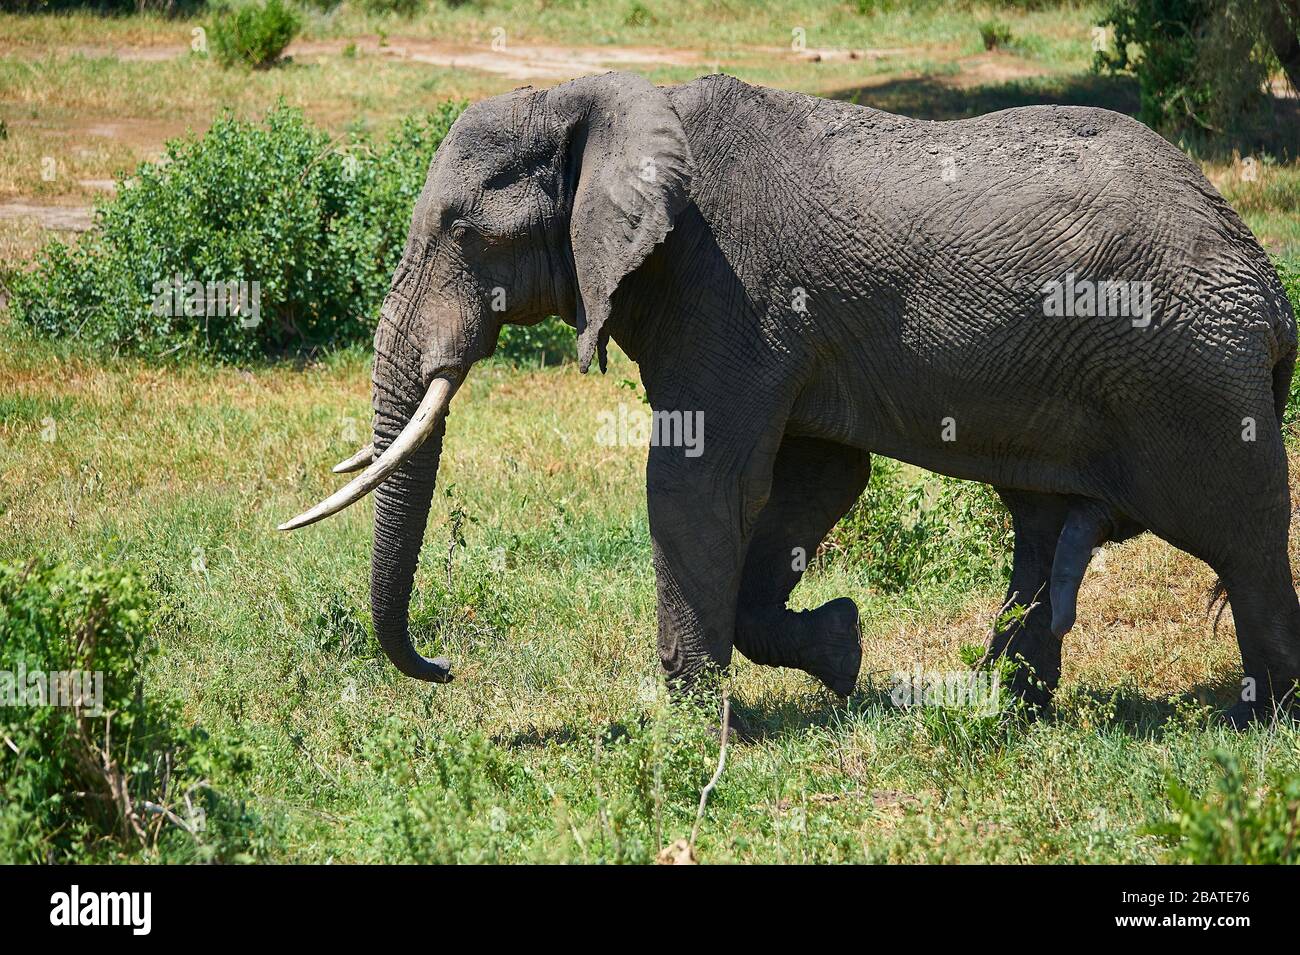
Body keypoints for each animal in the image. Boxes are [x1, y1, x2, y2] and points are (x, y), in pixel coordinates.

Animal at [282, 71, 1299, 726]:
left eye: (461, 230)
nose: (443, 668)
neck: (597, 98)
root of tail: (1266, 281)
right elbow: (816, 478)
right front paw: (843, 652)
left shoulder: (730, 289)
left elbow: (698, 483)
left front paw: (691, 731)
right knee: (1044, 529)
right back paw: (1004, 710)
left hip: (1197, 379)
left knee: (1244, 540)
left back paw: (1263, 721)